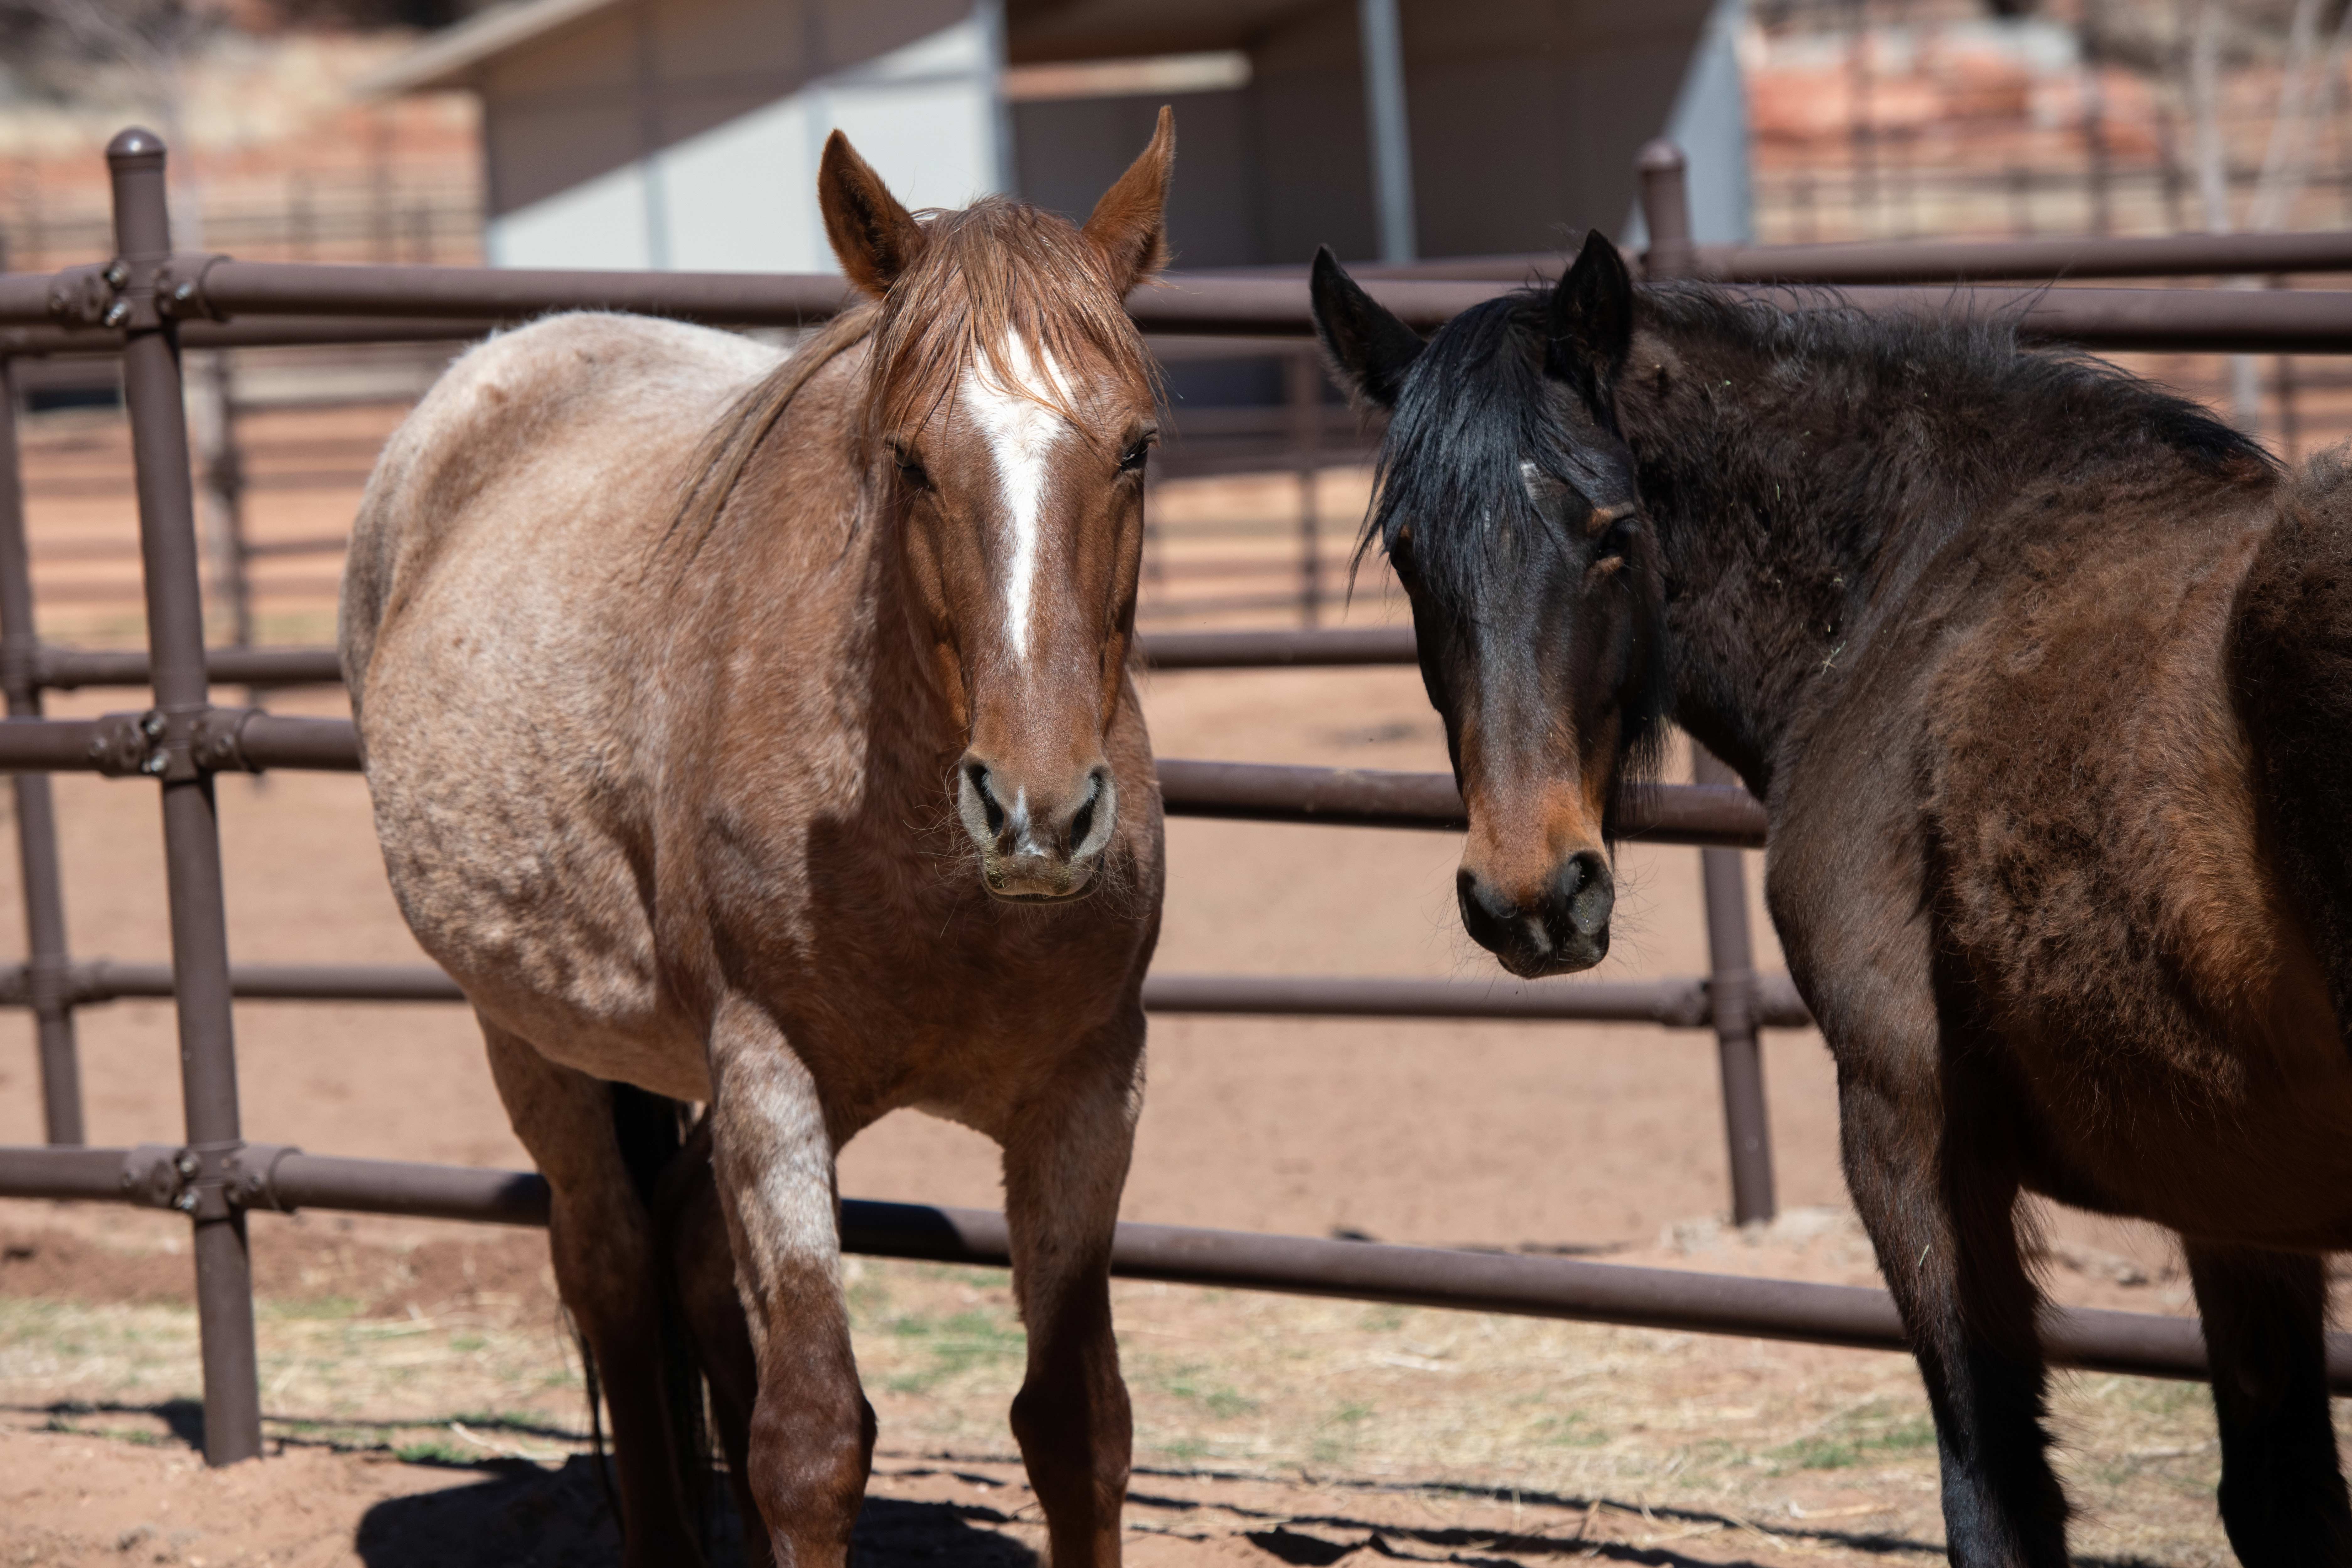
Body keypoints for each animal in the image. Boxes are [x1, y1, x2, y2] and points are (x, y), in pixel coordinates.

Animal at [339, 113, 1177, 1567]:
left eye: (1130, 448)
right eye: (909, 459)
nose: (1038, 810)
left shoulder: (1088, 1090)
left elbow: (1077, 1427)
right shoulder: (771, 1079)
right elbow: (810, 1443)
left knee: (679, 1257)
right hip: (537, 1045)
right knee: (614, 1273)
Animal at [1311, 232, 2352, 1565]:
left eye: (1610, 533)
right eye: (1406, 554)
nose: (1530, 892)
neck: (1912, 586)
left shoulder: (1909, 1137)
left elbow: (1995, 1499)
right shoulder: (2224, 1185)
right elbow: (2277, 1498)